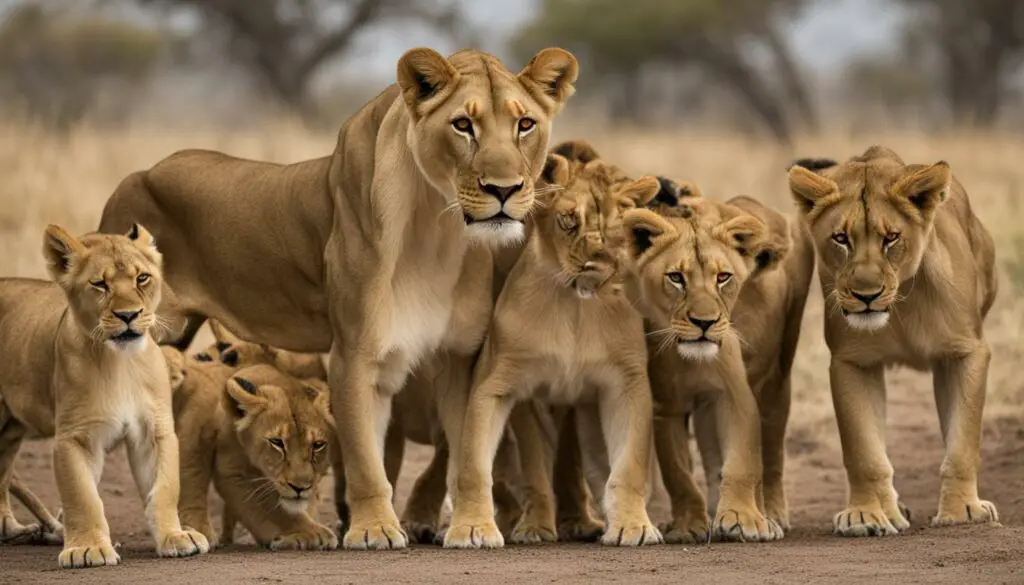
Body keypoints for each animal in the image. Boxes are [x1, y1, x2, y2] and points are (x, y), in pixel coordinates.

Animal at [0, 224, 209, 568]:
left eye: (142, 278)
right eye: (100, 284)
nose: (129, 315)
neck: (121, 362)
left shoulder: (155, 430)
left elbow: (165, 488)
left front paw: (177, 536)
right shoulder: (74, 436)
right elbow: (83, 497)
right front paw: (86, 548)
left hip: (11, 429)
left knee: (4, 472)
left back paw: (19, 529)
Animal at [98, 47, 578, 550]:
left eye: (525, 124)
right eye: (463, 125)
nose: (504, 190)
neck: (437, 228)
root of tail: (137, 175)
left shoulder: (458, 356)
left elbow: (468, 452)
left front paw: (473, 526)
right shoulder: (356, 352)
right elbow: (366, 458)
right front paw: (374, 529)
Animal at [443, 146, 665, 549]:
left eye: (617, 229)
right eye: (568, 220)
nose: (599, 259)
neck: (576, 305)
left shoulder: (628, 384)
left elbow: (629, 465)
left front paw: (633, 525)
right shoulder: (505, 386)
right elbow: (481, 465)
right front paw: (475, 528)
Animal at [621, 193, 803, 543]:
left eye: (723, 277)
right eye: (676, 277)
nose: (704, 323)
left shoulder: (735, 394)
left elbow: (743, 463)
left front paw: (744, 519)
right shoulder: (667, 406)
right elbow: (679, 472)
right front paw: (689, 525)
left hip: (779, 376)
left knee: (771, 454)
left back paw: (773, 516)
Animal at [787, 146, 999, 536]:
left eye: (891, 238)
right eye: (841, 238)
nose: (866, 295)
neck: (903, 305)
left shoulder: (967, 351)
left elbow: (963, 442)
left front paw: (963, 511)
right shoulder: (852, 361)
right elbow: (864, 452)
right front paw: (865, 515)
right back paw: (891, 508)